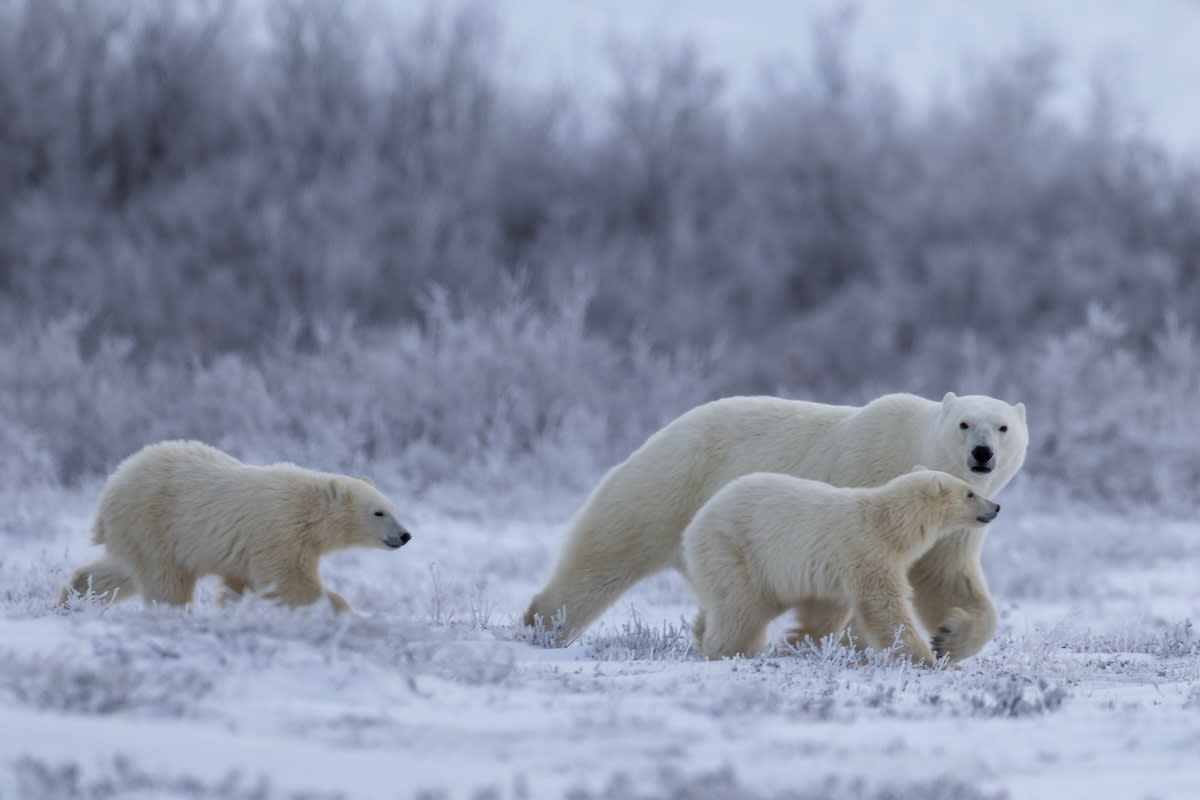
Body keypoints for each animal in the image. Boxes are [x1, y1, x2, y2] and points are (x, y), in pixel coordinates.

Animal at [56, 440, 412, 612]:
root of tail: (113, 482)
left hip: (136, 531)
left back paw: (73, 599)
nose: (405, 535)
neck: (306, 508)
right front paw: (346, 612)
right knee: (166, 580)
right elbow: (289, 582)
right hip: (153, 521)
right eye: (379, 512)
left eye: (394, 509)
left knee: (120, 571)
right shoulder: (278, 531)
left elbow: (239, 585)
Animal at [682, 469, 1000, 664]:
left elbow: (828, 610)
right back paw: (727, 649)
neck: (888, 524)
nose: (996, 507)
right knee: (742, 607)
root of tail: (695, 522)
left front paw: (801, 643)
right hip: (736, 547)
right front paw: (928, 658)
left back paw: (701, 630)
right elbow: (884, 607)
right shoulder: (867, 550)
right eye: (970, 493)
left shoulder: (835, 569)